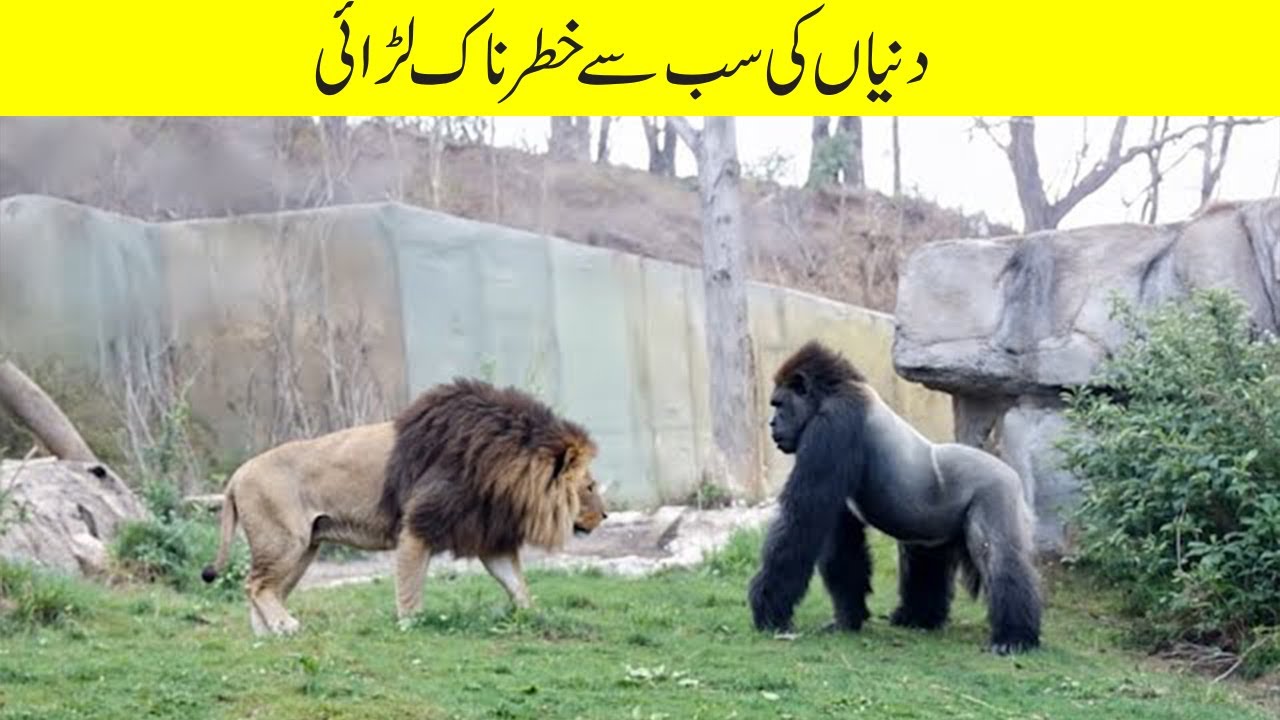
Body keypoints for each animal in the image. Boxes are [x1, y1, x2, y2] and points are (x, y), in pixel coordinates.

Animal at [201, 378, 608, 637]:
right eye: (589, 486)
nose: (605, 515)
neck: (502, 469)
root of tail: (236, 475)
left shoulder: (486, 533)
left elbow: (517, 585)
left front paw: (537, 616)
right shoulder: (418, 526)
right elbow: (410, 585)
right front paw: (410, 624)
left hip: (304, 549)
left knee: (264, 589)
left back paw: (267, 634)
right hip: (285, 541)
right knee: (255, 585)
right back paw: (284, 626)